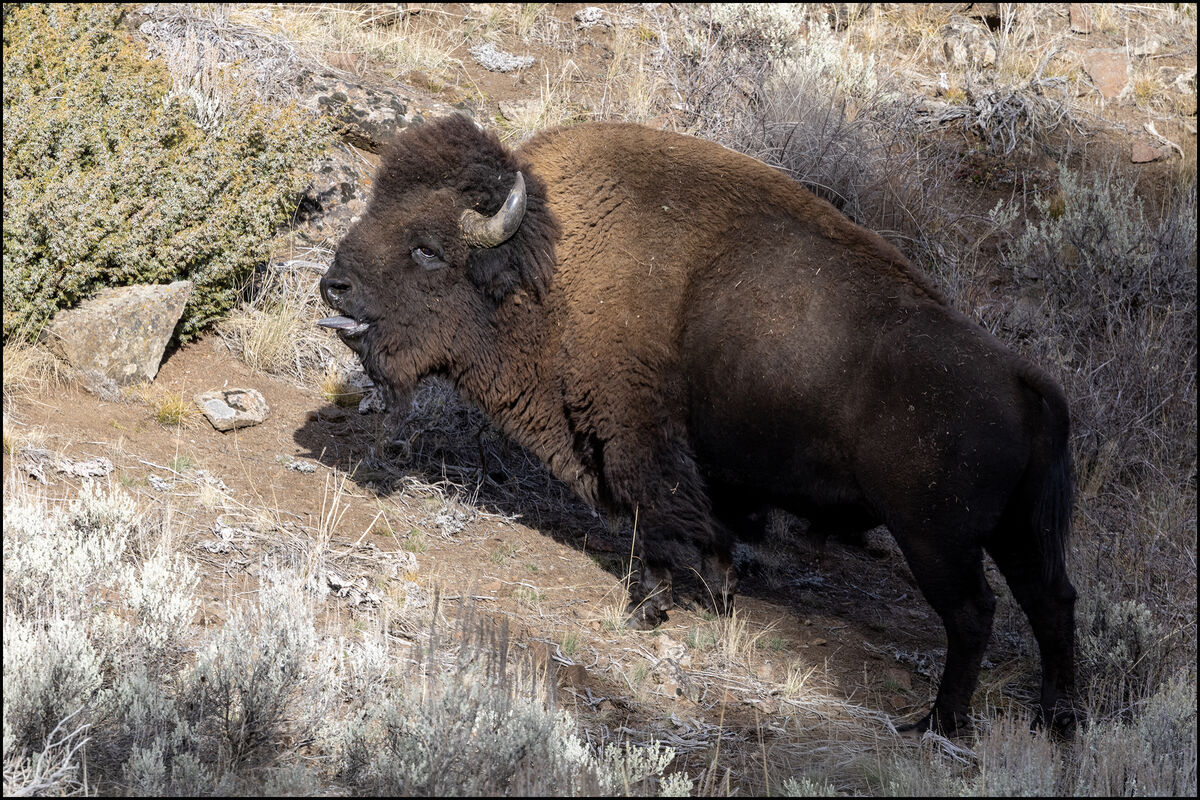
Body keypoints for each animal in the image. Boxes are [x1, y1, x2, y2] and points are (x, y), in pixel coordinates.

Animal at [319, 114, 1077, 736]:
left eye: (427, 248)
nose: (334, 286)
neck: (553, 264)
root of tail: (1026, 381)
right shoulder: (688, 472)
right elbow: (707, 535)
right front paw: (717, 599)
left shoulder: (636, 444)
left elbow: (653, 524)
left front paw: (648, 609)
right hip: (1019, 534)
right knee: (1053, 605)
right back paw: (1055, 722)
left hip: (936, 538)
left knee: (975, 614)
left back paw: (937, 725)